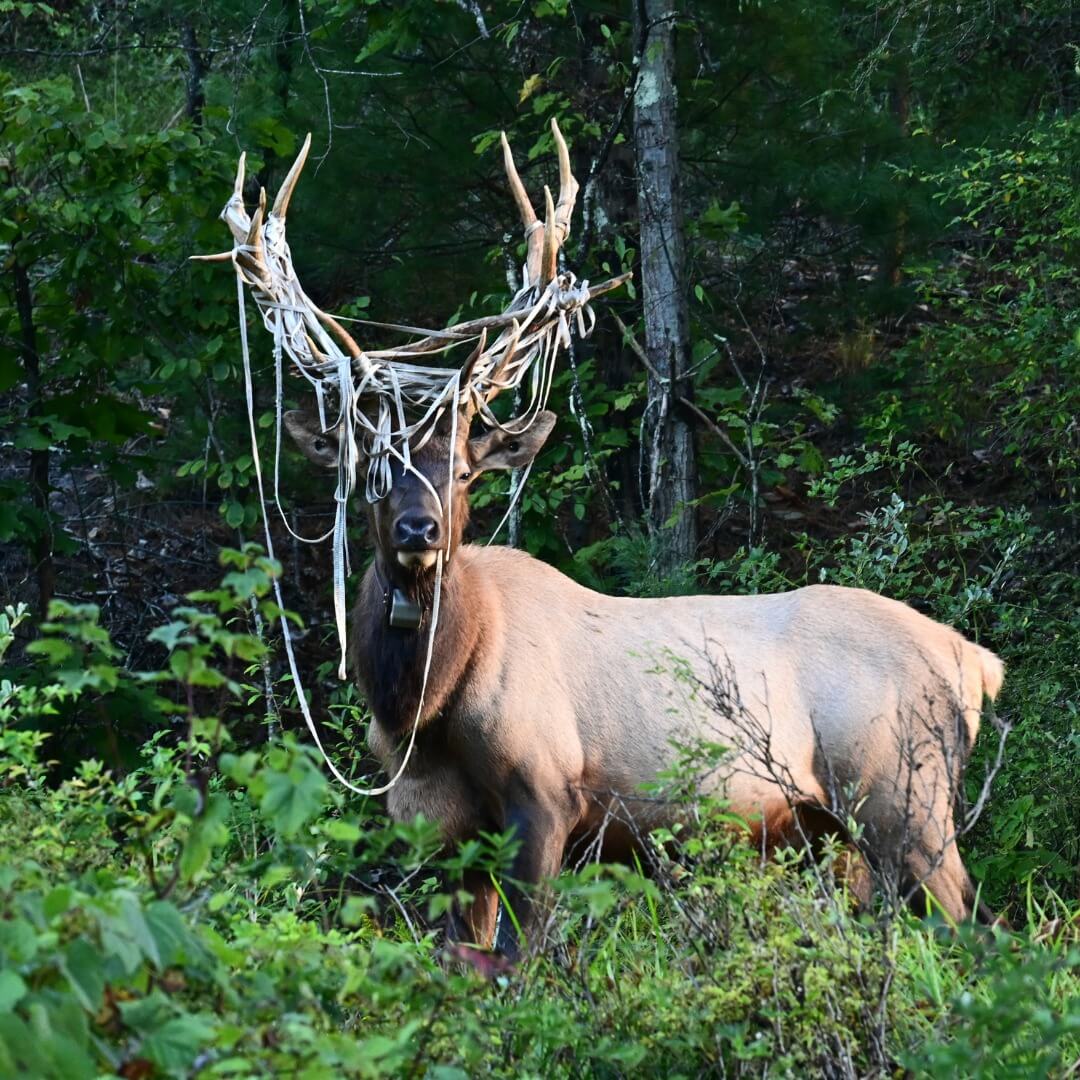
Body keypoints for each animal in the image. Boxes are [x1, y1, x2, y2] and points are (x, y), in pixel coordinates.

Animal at [243, 125, 1005, 961]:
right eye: (371, 472)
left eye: (467, 471)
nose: (421, 530)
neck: (423, 709)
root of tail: (975, 663)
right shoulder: (438, 825)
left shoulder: (546, 788)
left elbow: (518, 956)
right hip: (840, 828)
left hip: (906, 792)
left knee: (977, 923)